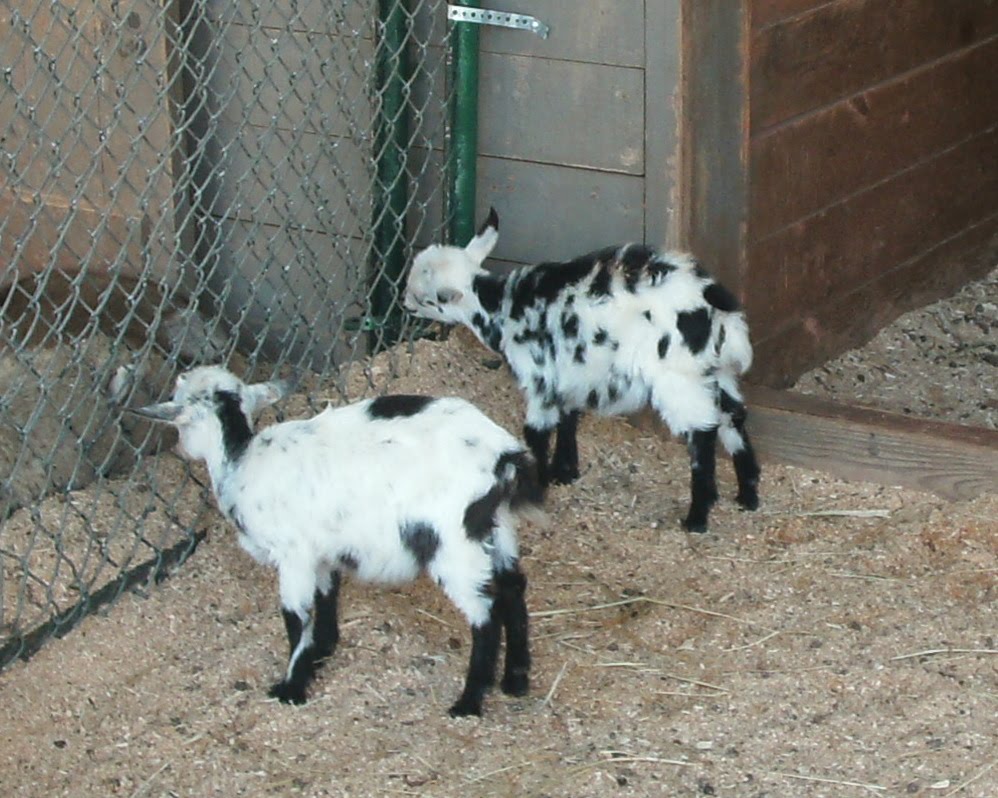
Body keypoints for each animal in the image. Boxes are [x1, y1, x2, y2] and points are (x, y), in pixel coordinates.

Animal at [131, 365, 541, 716]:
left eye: (179, 418)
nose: (180, 450)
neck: (239, 458)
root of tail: (502, 457)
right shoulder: (321, 553)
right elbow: (325, 599)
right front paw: (321, 653)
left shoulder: (292, 554)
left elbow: (296, 616)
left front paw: (291, 687)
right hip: (496, 528)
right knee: (513, 588)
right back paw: (515, 679)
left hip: (451, 542)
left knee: (486, 612)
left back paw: (469, 701)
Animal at [404, 209, 760, 532]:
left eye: (424, 298)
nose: (404, 304)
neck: (500, 310)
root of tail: (715, 303)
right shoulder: (571, 373)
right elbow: (568, 418)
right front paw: (565, 473)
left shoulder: (538, 377)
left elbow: (537, 432)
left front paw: (539, 484)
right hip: (716, 372)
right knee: (734, 417)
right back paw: (748, 496)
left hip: (678, 379)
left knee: (703, 433)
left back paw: (697, 517)